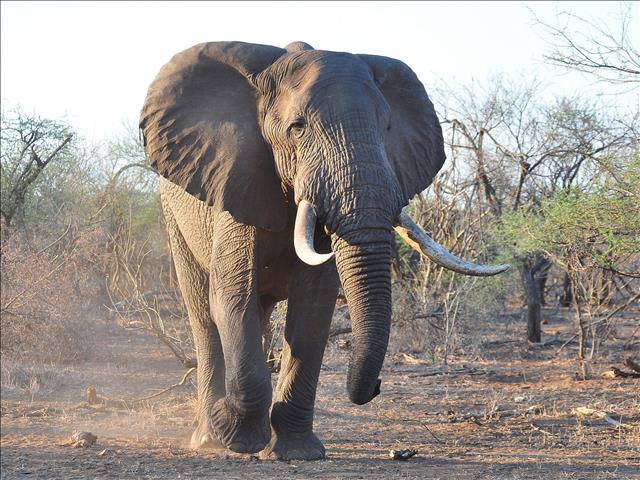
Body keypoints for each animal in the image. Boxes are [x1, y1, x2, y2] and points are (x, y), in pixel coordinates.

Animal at [139, 40, 508, 461]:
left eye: (386, 127)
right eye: (297, 128)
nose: (376, 387)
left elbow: (312, 307)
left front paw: (296, 452)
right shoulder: (238, 179)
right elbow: (233, 293)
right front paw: (234, 435)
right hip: (174, 216)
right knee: (203, 315)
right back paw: (207, 438)